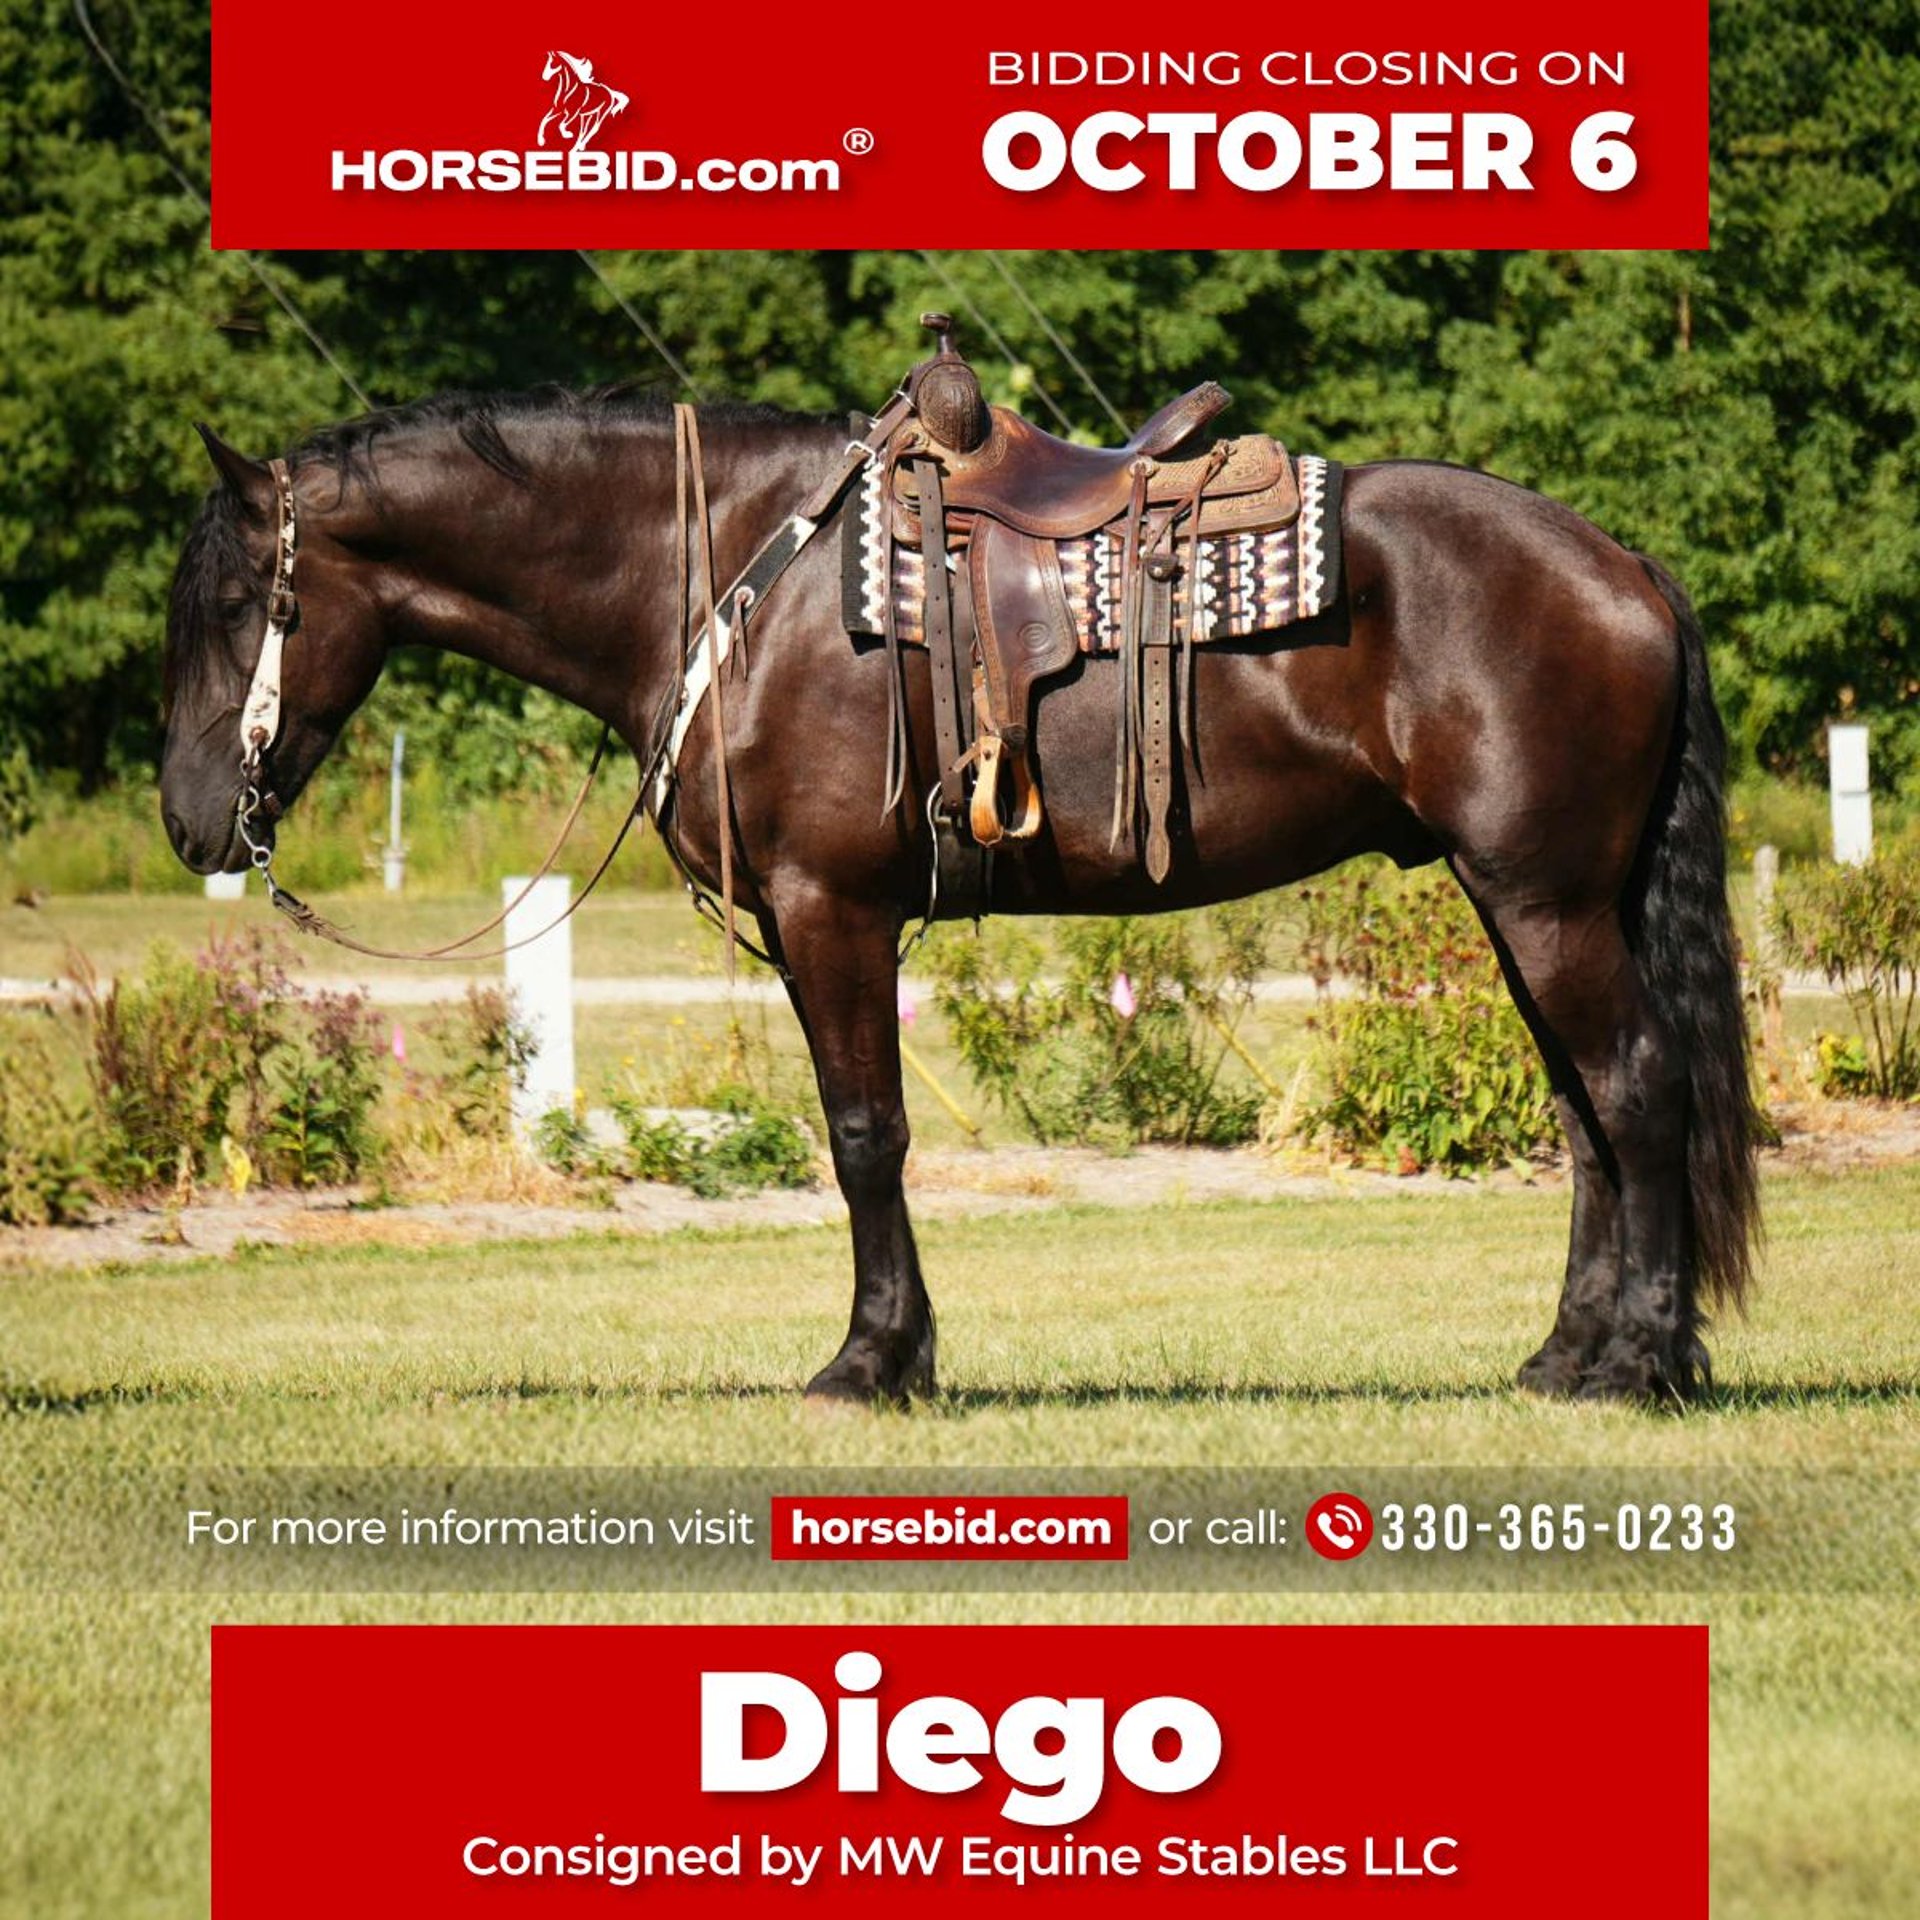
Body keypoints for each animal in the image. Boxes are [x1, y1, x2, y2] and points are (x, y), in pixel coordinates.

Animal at [158, 380, 1760, 1408]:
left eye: (237, 603)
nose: (188, 823)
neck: (723, 574)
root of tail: (1623, 563)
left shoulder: (834, 910)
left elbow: (866, 1137)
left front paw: (873, 1363)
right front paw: (898, 1352)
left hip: (1547, 900)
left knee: (1636, 1088)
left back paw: (1642, 1365)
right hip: (1526, 903)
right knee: (1586, 1117)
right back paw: (1566, 1358)